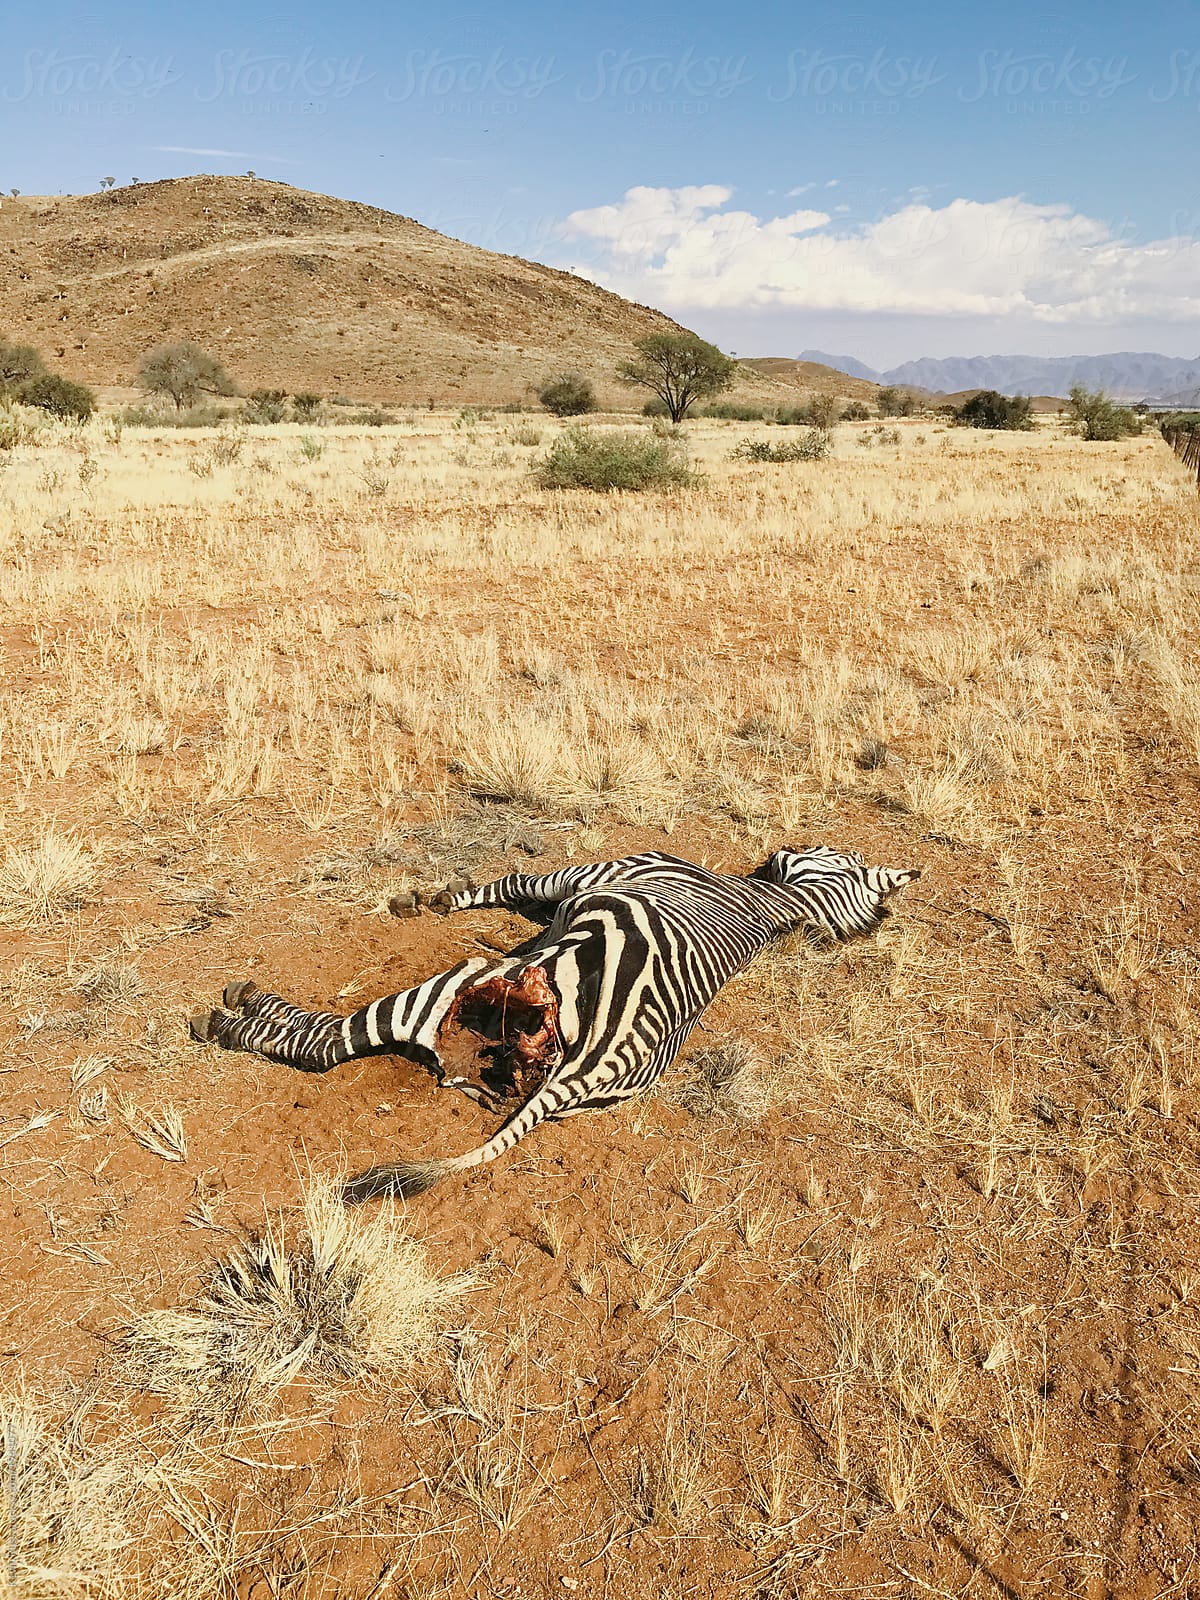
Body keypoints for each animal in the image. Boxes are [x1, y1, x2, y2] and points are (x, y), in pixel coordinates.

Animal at [189, 846, 919, 1201]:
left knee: (328, 1044)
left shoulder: (591, 870)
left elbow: (512, 883)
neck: (769, 901)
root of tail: (604, 1058)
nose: (785, 844)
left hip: (458, 985)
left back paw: (232, 1016)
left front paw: (431, 898)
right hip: (479, 1057)